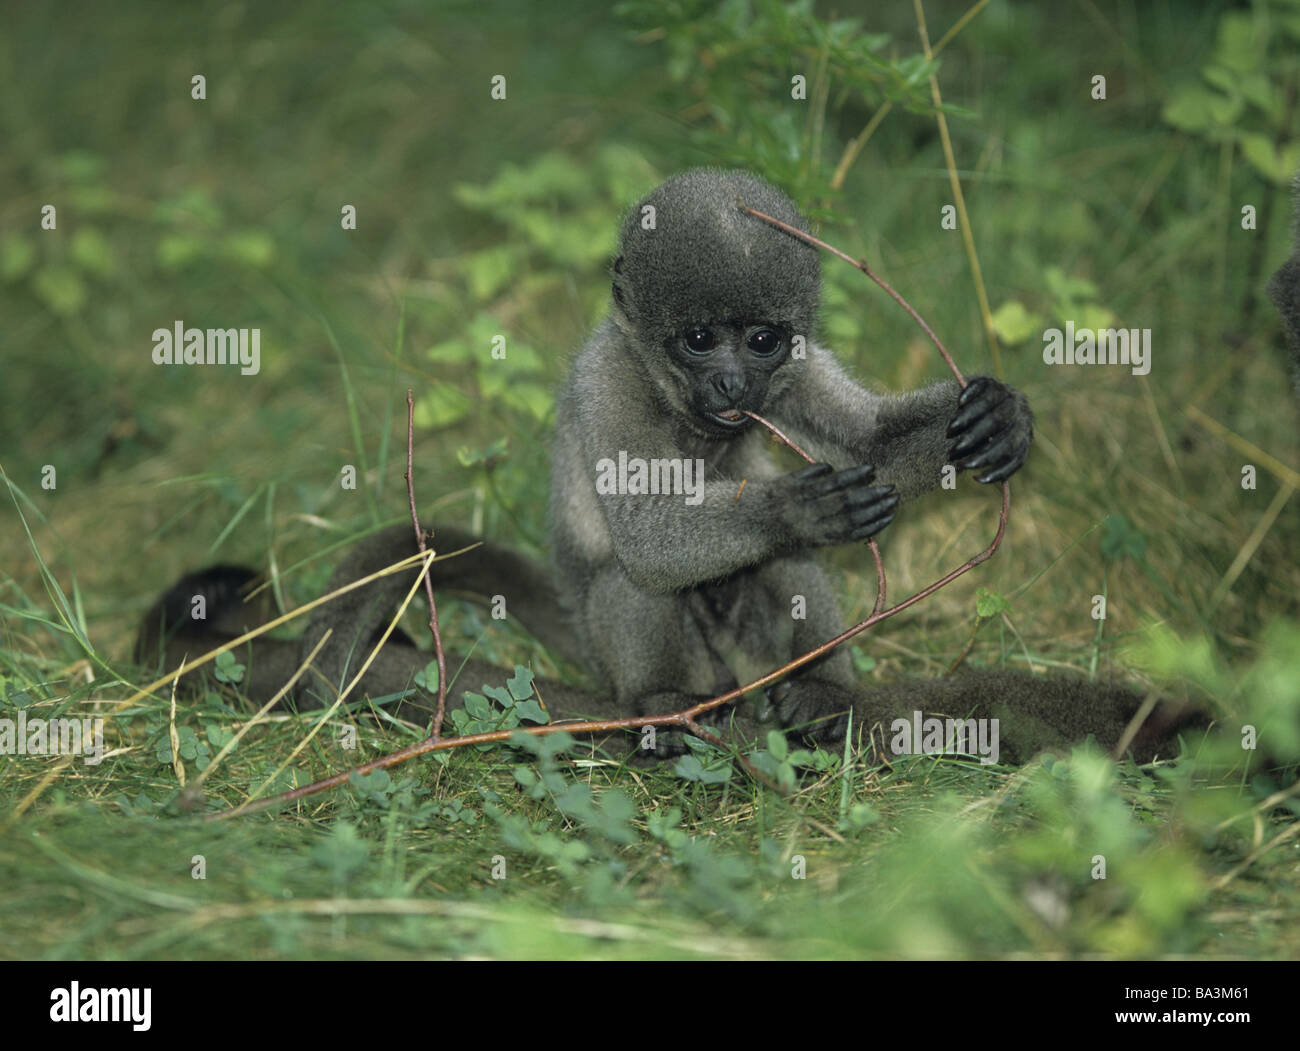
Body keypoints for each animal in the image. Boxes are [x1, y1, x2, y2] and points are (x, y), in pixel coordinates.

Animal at [138, 169, 1202, 766]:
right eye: (698, 337)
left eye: (760, 337)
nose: (734, 378)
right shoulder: (611, 380)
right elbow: (651, 542)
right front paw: (795, 508)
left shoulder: (797, 369)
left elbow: (862, 442)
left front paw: (994, 422)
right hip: (639, 654)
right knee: (630, 578)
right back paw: (657, 708)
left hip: (745, 658)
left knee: (772, 584)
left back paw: (822, 694)